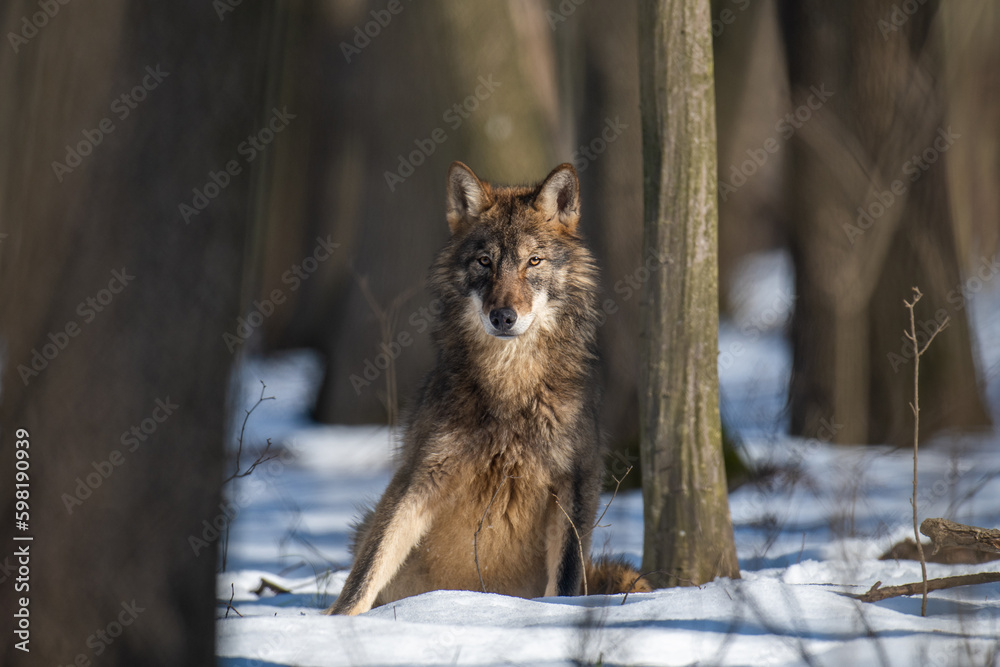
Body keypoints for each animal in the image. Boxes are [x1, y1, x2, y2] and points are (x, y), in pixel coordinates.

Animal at [326, 162, 649, 616]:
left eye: (533, 261)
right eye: (485, 261)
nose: (503, 317)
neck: (509, 385)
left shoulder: (577, 482)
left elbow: (566, 579)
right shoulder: (418, 476)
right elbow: (367, 569)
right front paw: (336, 623)